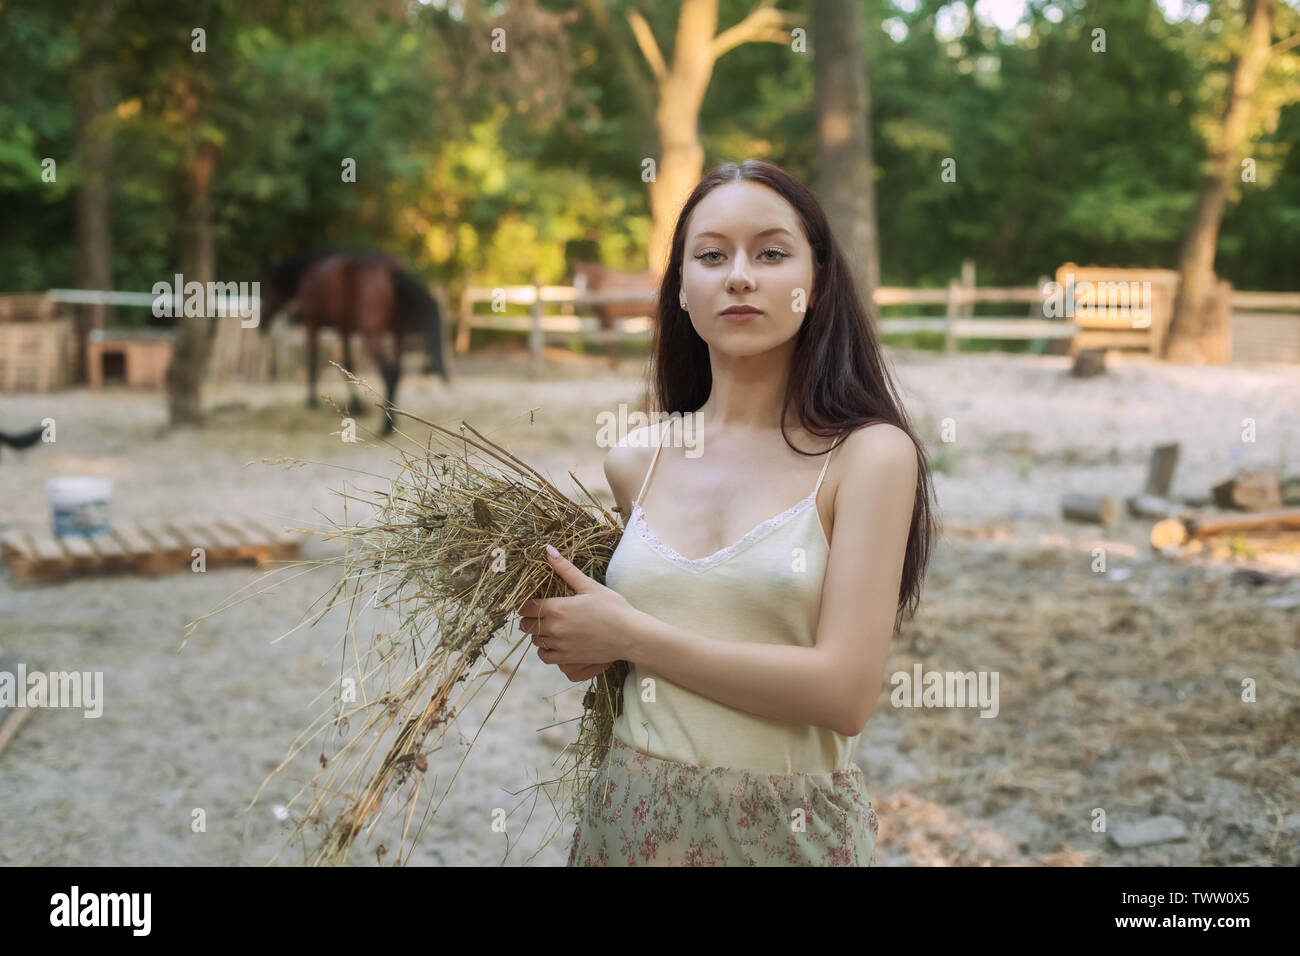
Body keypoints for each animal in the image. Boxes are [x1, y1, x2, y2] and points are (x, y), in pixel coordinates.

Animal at [259, 248, 450, 434]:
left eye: (265, 290)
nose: (261, 325)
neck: (307, 270)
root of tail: (393, 268)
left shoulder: (312, 324)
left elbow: (313, 362)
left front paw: (312, 402)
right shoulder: (345, 329)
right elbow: (348, 365)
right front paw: (357, 406)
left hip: (371, 335)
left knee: (387, 371)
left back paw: (386, 426)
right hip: (399, 334)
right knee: (396, 371)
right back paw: (392, 421)